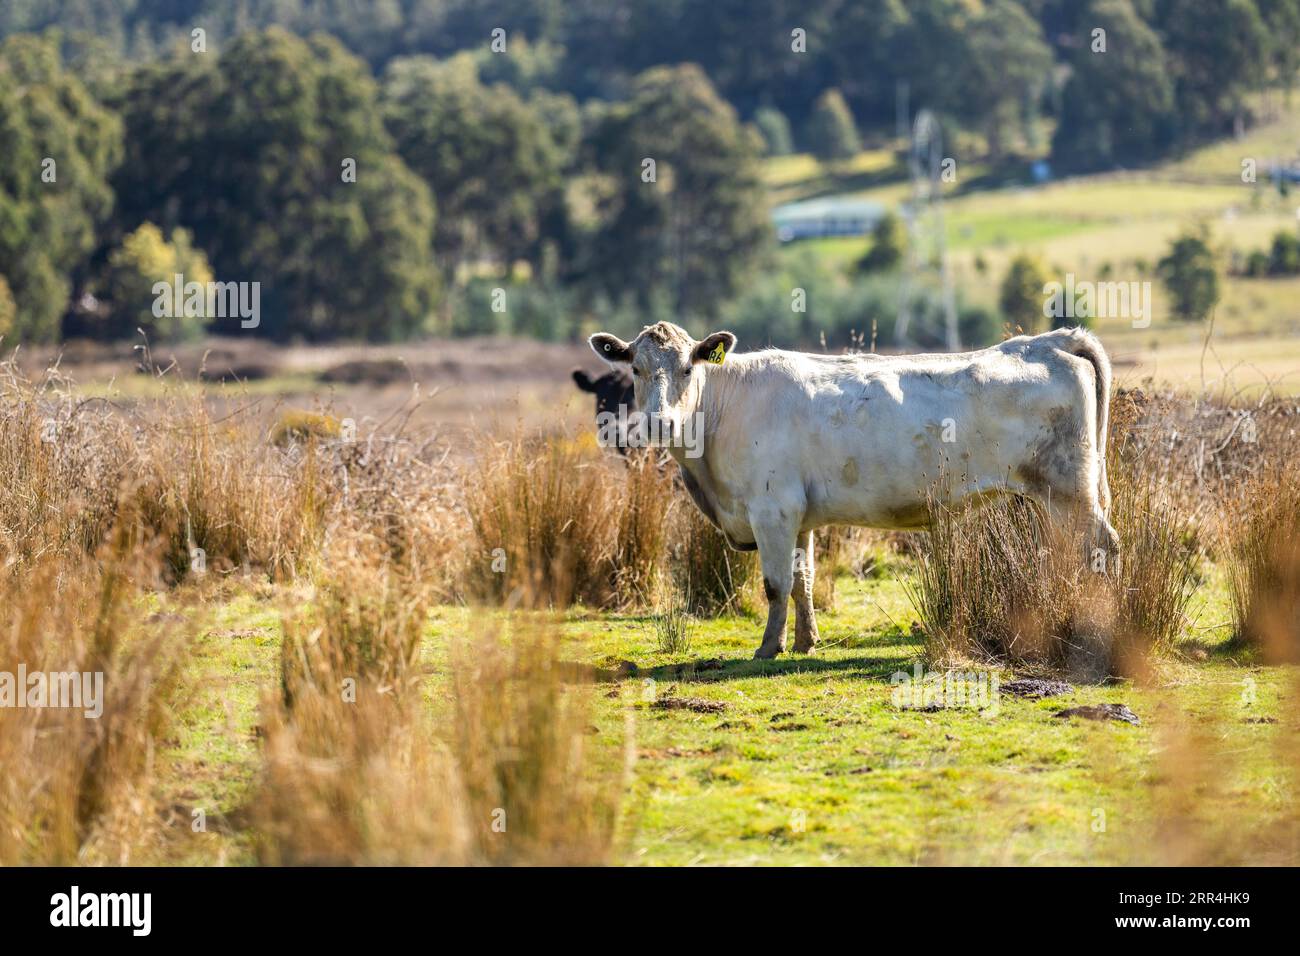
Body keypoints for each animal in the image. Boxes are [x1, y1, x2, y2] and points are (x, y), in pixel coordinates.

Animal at [588, 321, 1119, 659]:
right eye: (635, 369)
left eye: (688, 369)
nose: (659, 423)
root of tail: (1047, 341)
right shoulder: (797, 515)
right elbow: (803, 580)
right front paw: (806, 642)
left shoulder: (772, 509)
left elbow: (775, 584)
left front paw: (768, 648)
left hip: (1069, 490)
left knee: (1102, 546)